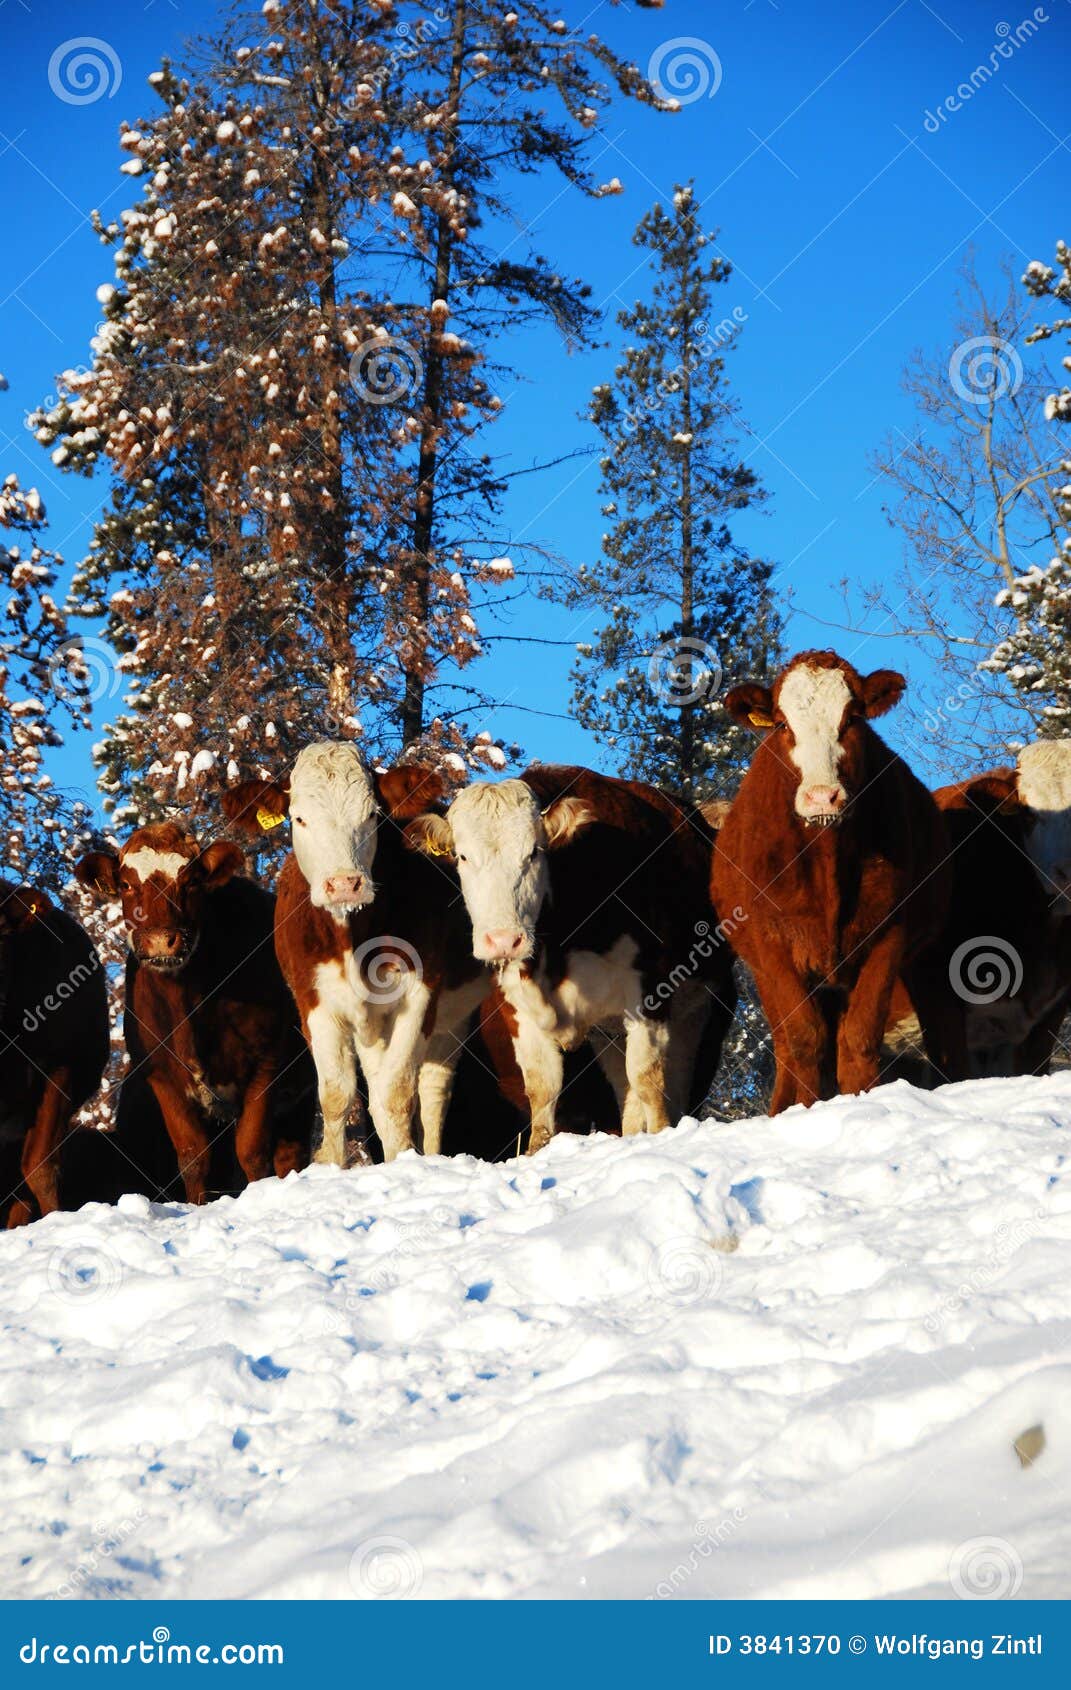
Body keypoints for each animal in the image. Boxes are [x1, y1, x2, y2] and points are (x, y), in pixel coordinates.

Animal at [75, 824, 316, 1205]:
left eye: (190, 882)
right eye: (126, 884)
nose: (161, 940)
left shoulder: (266, 1064)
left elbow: (252, 1150)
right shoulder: (162, 1075)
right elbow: (193, 1157)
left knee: (289, 1154)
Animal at [222, 745, 487, 1165]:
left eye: (372, 814)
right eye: (299, 818)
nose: (345, 883)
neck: (351, 937)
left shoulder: (419, 994)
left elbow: (396, 1094)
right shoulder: (314, 1002)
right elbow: (336, 1094)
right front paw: (332, 1164)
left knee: (430, 1093)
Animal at [405, 765, 737, 1154]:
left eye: (534, 852)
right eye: (462, 856)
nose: (503, 940)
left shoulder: (650, 989)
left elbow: (647, 1076)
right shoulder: (518, 1006)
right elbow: (542, 1085)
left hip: (703, 1008)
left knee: (678, 1081)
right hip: (609, 1030)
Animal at [710, 650, 964, 1114]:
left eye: (850, 719)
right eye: (784, 725)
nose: (821, 796)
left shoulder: (889, 933)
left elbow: (860, 1037)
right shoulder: (773, 944)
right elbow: (804, 1040)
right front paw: (806, 1112)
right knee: (789, 1045)